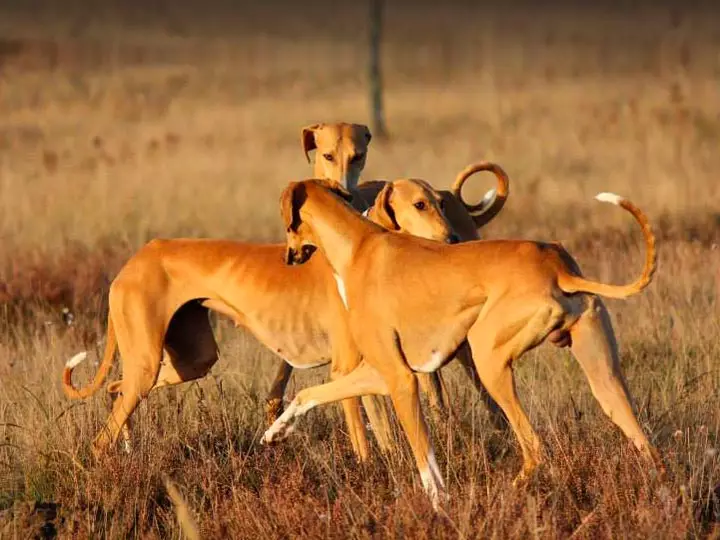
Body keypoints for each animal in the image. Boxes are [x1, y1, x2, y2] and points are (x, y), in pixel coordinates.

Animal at [60, 175, 466, 462]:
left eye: (442, 202)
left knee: (116, 389)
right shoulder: (345, 366)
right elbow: (365, 439)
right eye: (419, 204)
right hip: (148, 362)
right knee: (101, 438)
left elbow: (382, 432)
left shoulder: (370, 367)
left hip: (191, 360)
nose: (454, 239)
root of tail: (134, 262)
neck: (352, 250)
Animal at [262, 178, 664, 510]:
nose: (288, 256)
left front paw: (440, 506)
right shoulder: (379, 374)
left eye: (285, 222)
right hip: (606, 382)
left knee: (534, 448)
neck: (359, 246)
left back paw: (506, 496)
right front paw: (276, 431)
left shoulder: (402, 381)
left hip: (489, 363)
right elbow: (309, 394)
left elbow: (425, 460)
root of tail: (558, 267)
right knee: (647, 447)